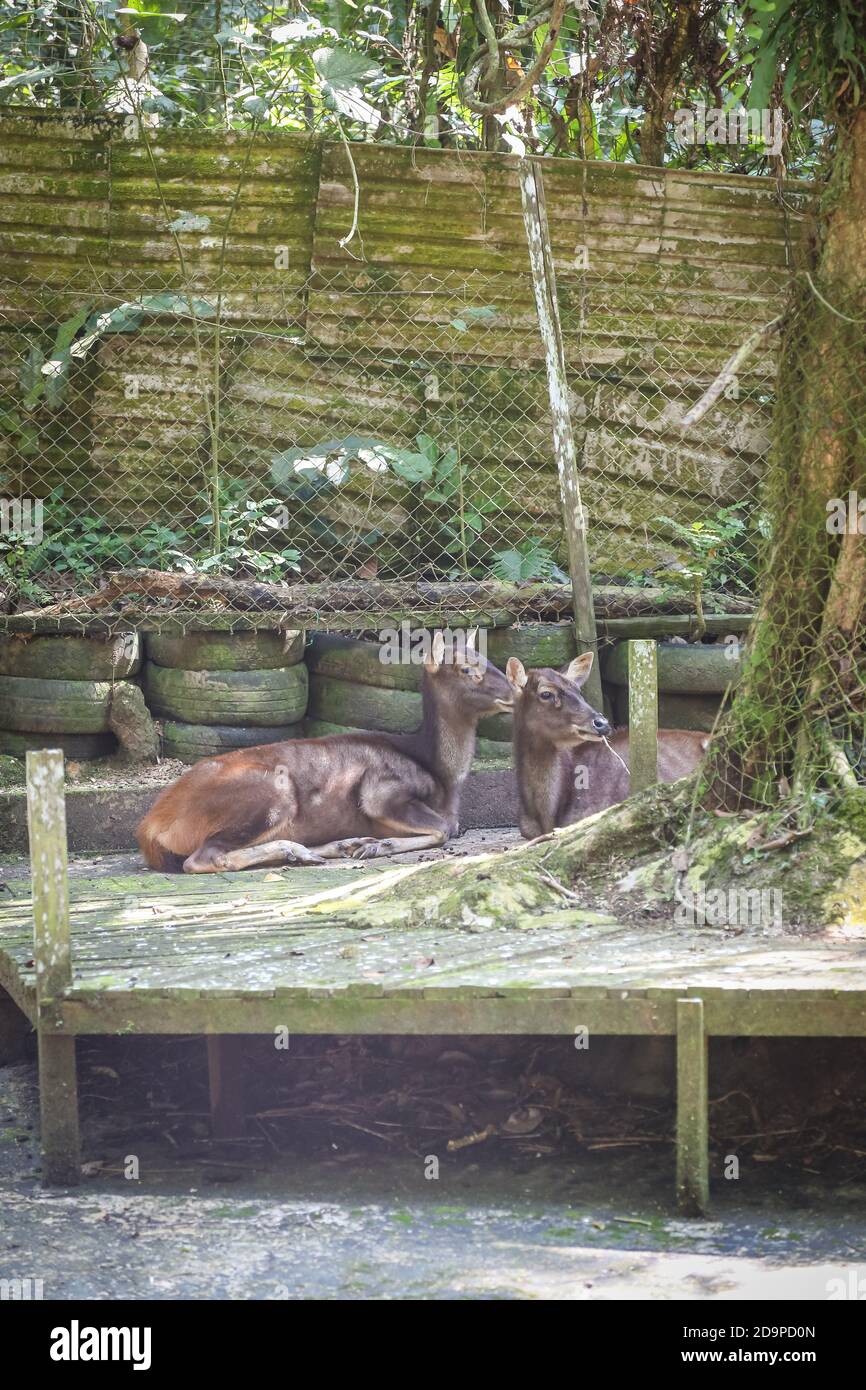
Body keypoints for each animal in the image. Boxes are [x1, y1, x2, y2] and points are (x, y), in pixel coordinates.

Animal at [137, 630, 513, 873]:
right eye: (467, 669)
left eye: (487, 659)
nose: (514, 690)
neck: (441, 774)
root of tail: (150, 828)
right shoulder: (381, 791)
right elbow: (443, 829)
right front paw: (379, 845)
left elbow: (450, 826)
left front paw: (369, 844)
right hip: (268, 794)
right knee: (202, 858)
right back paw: (304, 851)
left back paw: (336, 845)